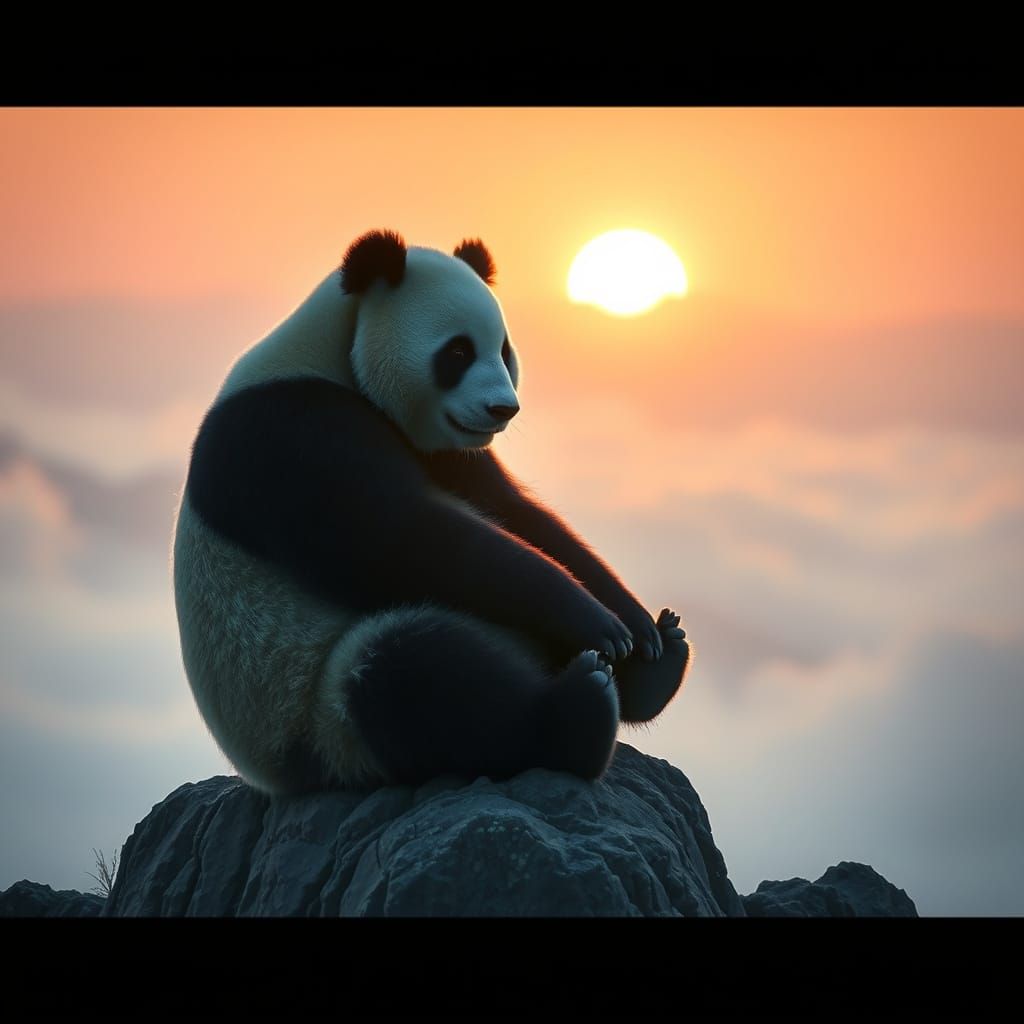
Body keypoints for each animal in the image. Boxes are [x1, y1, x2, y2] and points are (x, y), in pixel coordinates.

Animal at [172, 229, 690, 795]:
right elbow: (401, 537)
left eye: (504, 350)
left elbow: (515, 514)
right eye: (458, 352)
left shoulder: (448, 451)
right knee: (412, 675)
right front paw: (596, 622)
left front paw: (634, 625)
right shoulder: (287, 430)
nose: (502, 409)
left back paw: (659, 661)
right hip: (309, 709)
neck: (331, 348)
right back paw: (579, 710)